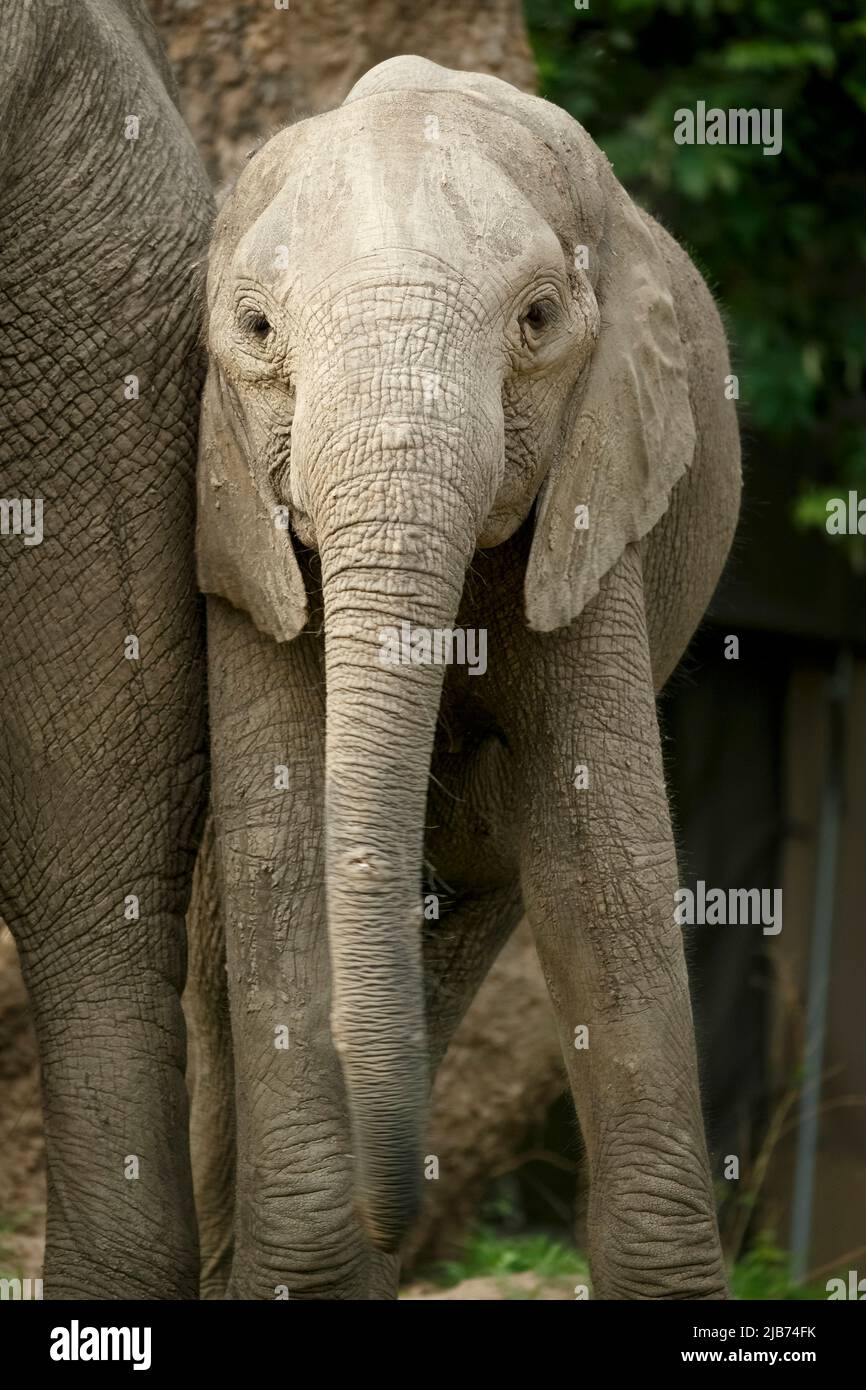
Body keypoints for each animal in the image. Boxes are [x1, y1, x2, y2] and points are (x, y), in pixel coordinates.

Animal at [196, 54, 741, 1300]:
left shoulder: (599, 491)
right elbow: (277, 842)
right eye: (254, 328)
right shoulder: (238, 514)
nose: (394, 1205)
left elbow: (601, 856)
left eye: (537, 322)